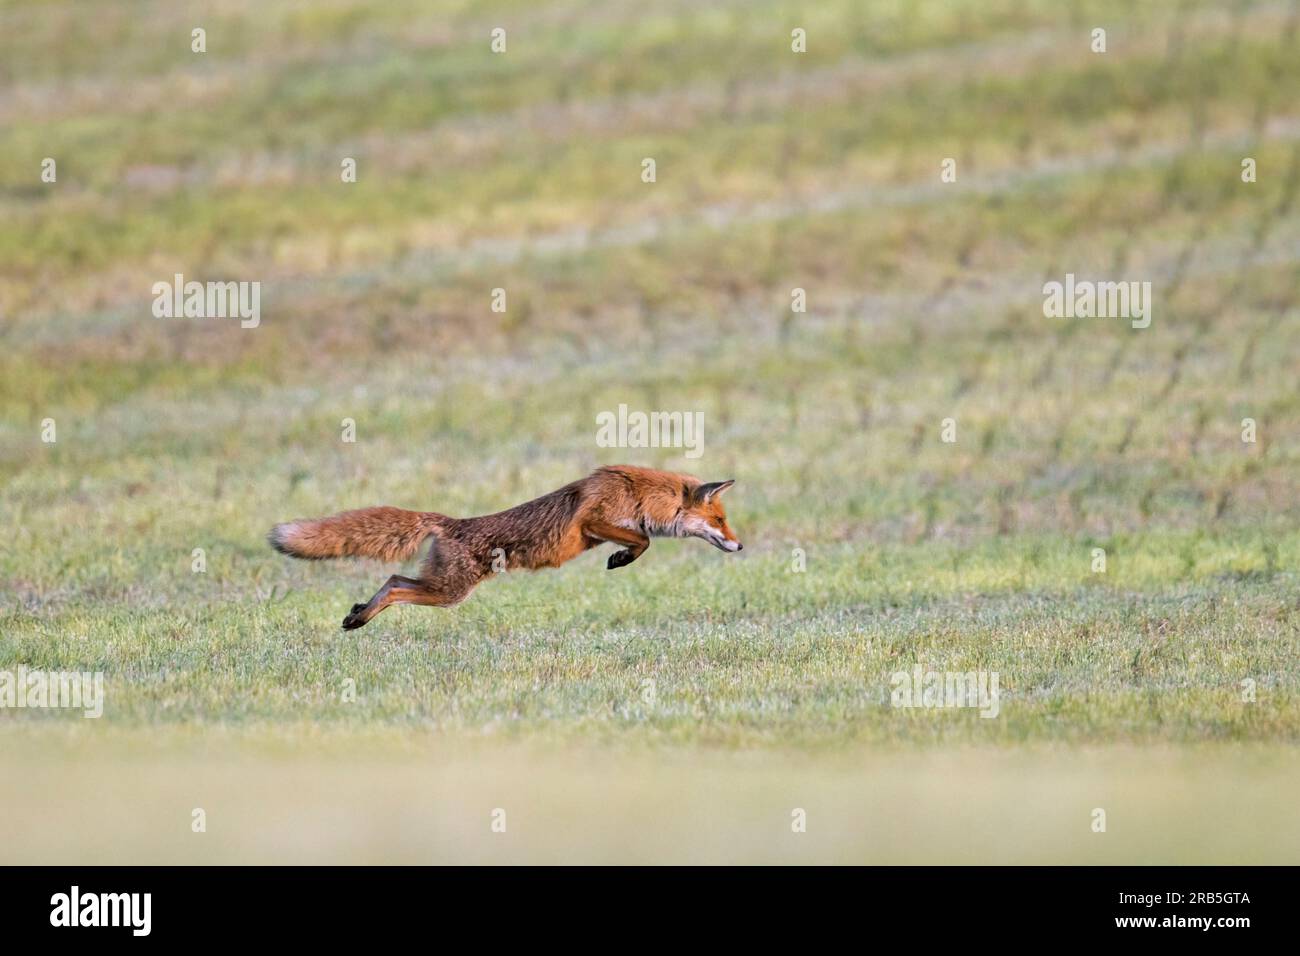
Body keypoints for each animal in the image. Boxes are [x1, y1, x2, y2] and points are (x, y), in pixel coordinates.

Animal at [268, 465, 742, 630]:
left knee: (392, 577)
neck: (641, 493)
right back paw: (361, 618)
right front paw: (621, 558)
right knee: (396, 585)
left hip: (442, 586)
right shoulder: (594, 521)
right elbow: (642, 541)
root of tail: (452, 523)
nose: (740, 545)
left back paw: (358, 614)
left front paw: (621, 557)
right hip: (449, 592)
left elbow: (642, 541)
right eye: (720, 520)